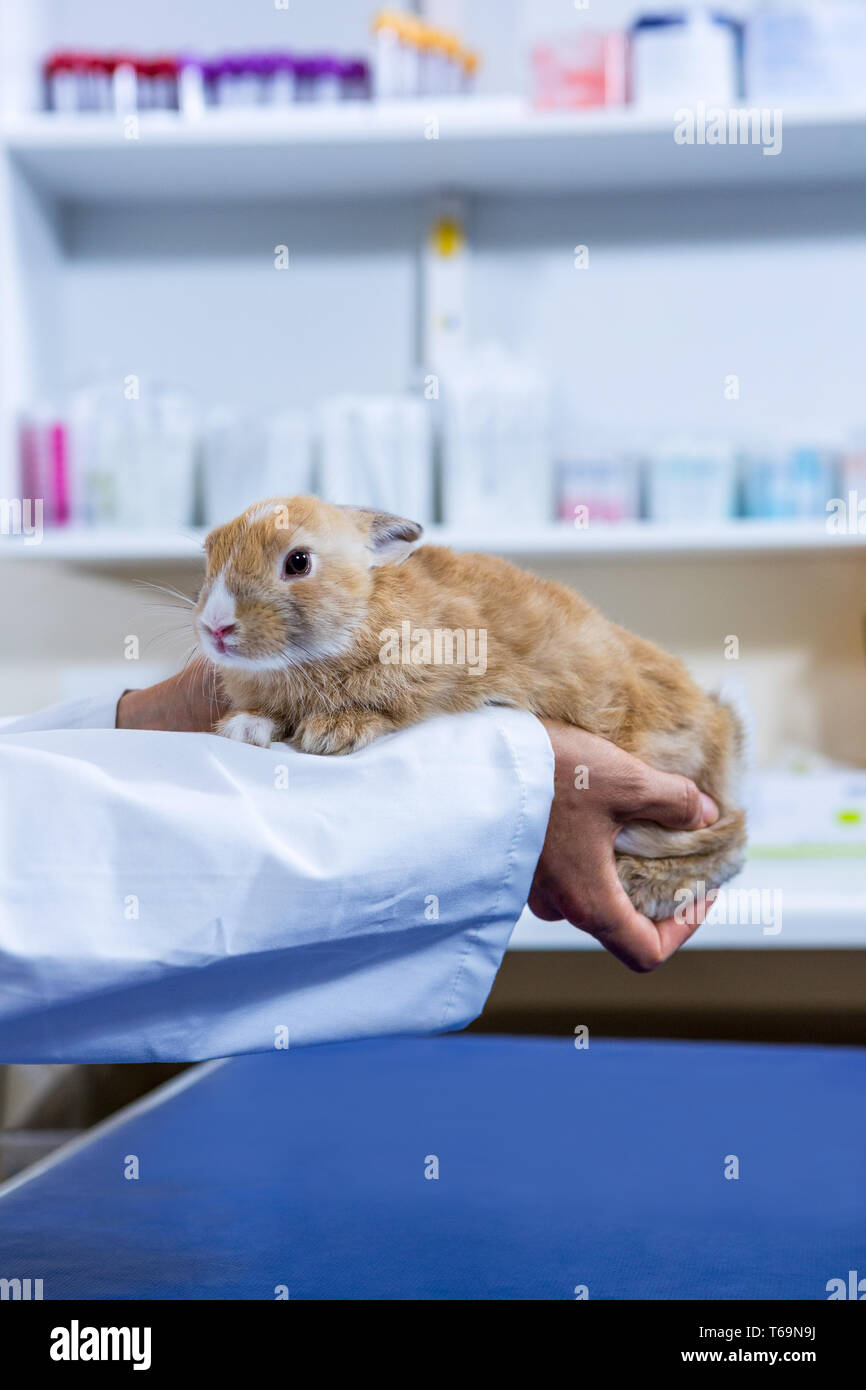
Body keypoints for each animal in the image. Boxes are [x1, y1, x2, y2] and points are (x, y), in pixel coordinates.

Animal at [193, 494, 747, 919]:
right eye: (209, 556)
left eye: (299, 562)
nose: (215, 627)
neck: (361, 609)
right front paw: (245, 727)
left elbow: (392, 707)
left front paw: (333, 731)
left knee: (731, 836)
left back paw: (649, 885)